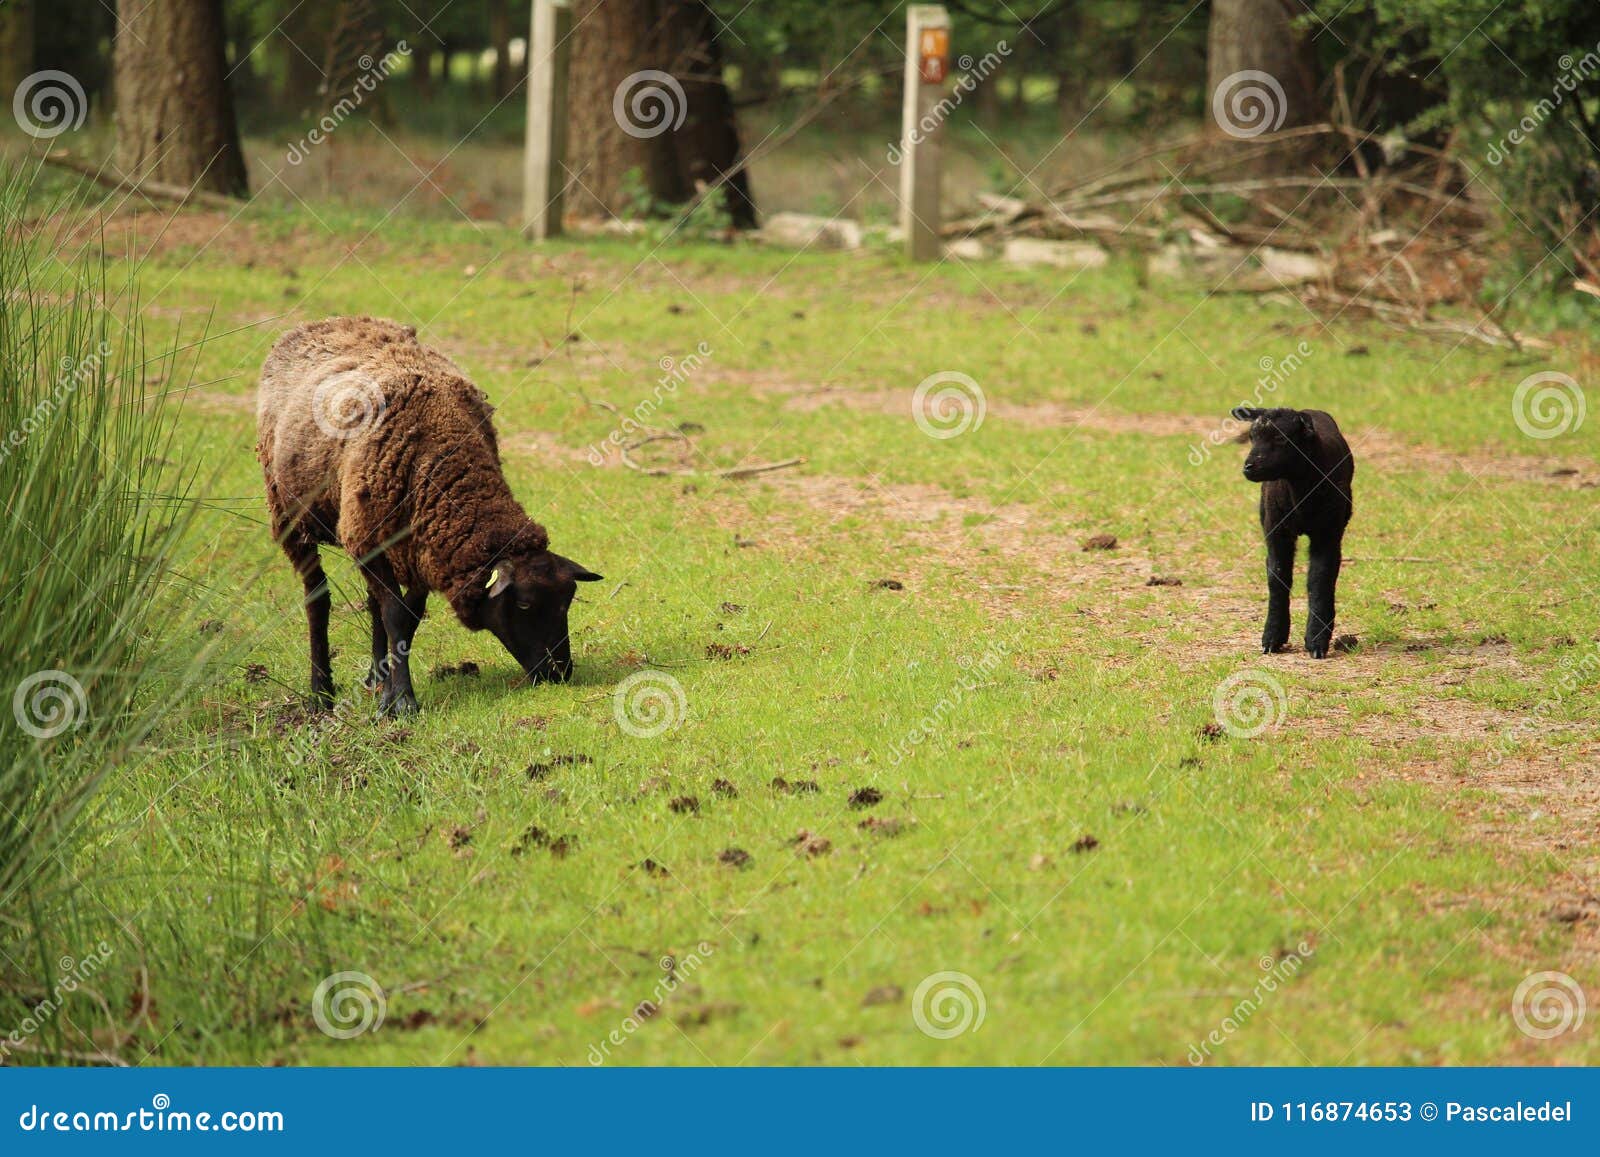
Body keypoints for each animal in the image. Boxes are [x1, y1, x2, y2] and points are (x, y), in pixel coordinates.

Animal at [257, 316, 602, 716]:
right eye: (524, 603)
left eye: (568, 600)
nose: (559, 673)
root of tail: (329, 321)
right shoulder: (370, 542)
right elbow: (394, 615)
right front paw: (402, 702)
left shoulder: (425, 547)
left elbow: (407, 617)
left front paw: (389, 691)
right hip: (290, 517)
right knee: (318, 599)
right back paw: (320, 692)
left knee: (372, 602)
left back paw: (374, 679)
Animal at [1231, 406, 1354, 659]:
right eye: (1251, 437)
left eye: (1281, 438)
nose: (1249, 467)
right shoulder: (1276, 530)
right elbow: (1278, 576)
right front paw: (1272, 638)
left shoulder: (1328, 533)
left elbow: (1320, 577)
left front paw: (1317, 641)